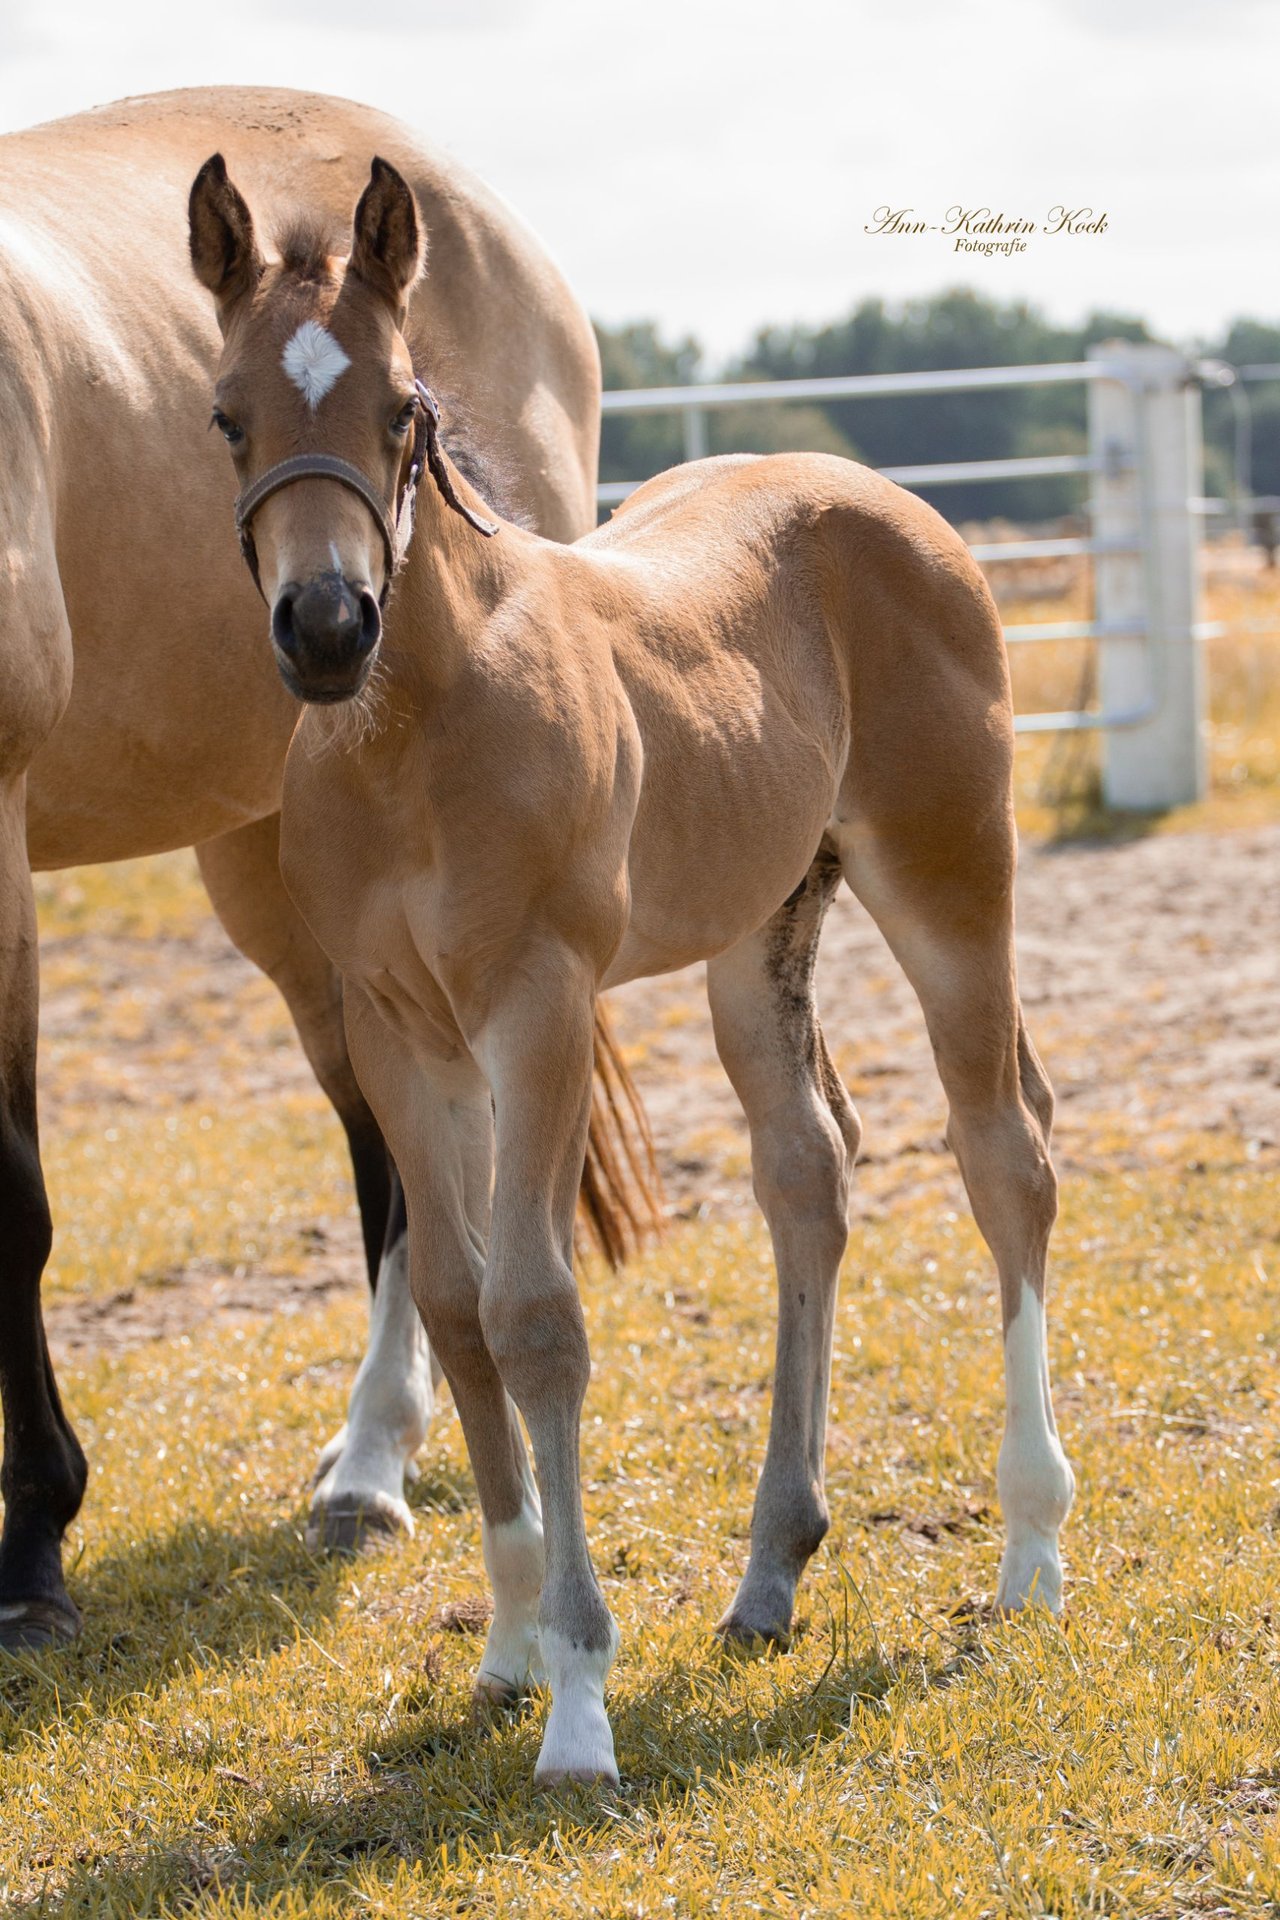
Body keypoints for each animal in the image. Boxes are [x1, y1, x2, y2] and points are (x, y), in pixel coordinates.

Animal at [0, 87, 659, 1654]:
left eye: (401, 411)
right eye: (218, 418)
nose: (323, 624)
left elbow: (11, 1198)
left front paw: (31, 1548)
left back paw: (374, 1458)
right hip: (271, 877)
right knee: (392, 1136)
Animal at [189, 152, 1076, 1788]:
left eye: (401, 409)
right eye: (228, 415)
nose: (328, 627)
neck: (415, 729)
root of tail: (885, 499)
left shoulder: (535, 1002)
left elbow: (539, 1319)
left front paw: (581, 1703)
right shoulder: (401, 1029)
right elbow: (458, 1305)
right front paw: (507, 1645)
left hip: (949, 877)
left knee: (1005, 1154)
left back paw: (1033, 1548)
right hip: (757, 929)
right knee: (809, 1170)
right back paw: (772, 1570)